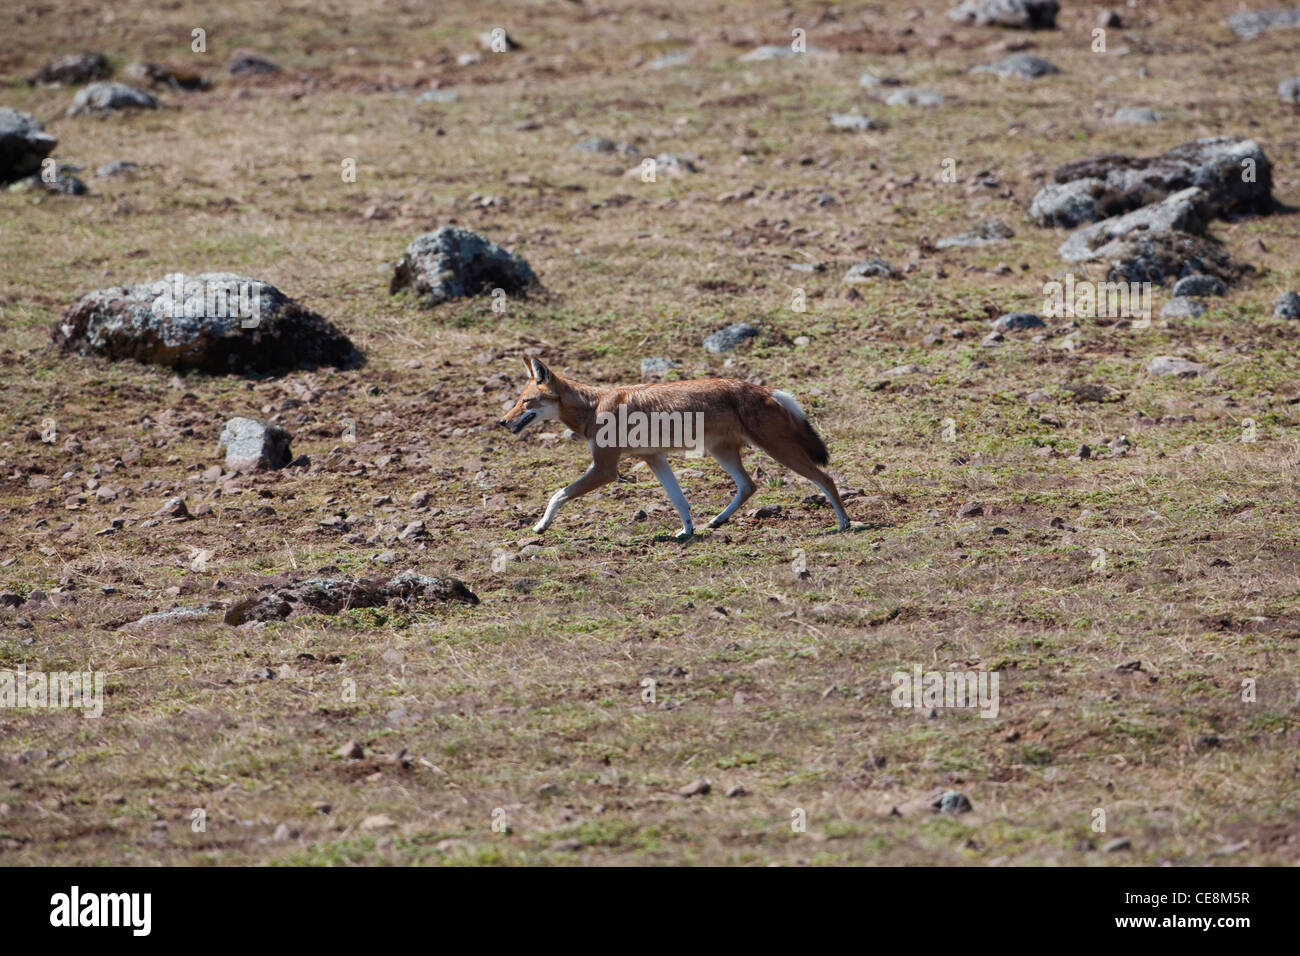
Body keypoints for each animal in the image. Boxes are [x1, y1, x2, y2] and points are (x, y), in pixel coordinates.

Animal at [498, 358, 851, 538]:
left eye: (525, 402)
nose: (502, 421)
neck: (593, 406)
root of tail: (765, 389)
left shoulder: (606, 470)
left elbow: (557, 494)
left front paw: (541, 525)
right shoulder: (654, 458)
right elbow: (680, 500)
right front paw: (688, 531)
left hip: (778, 451)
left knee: (826, 478)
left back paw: (844, 523)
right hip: (722, 453)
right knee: (749, 485)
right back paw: (717, 521)